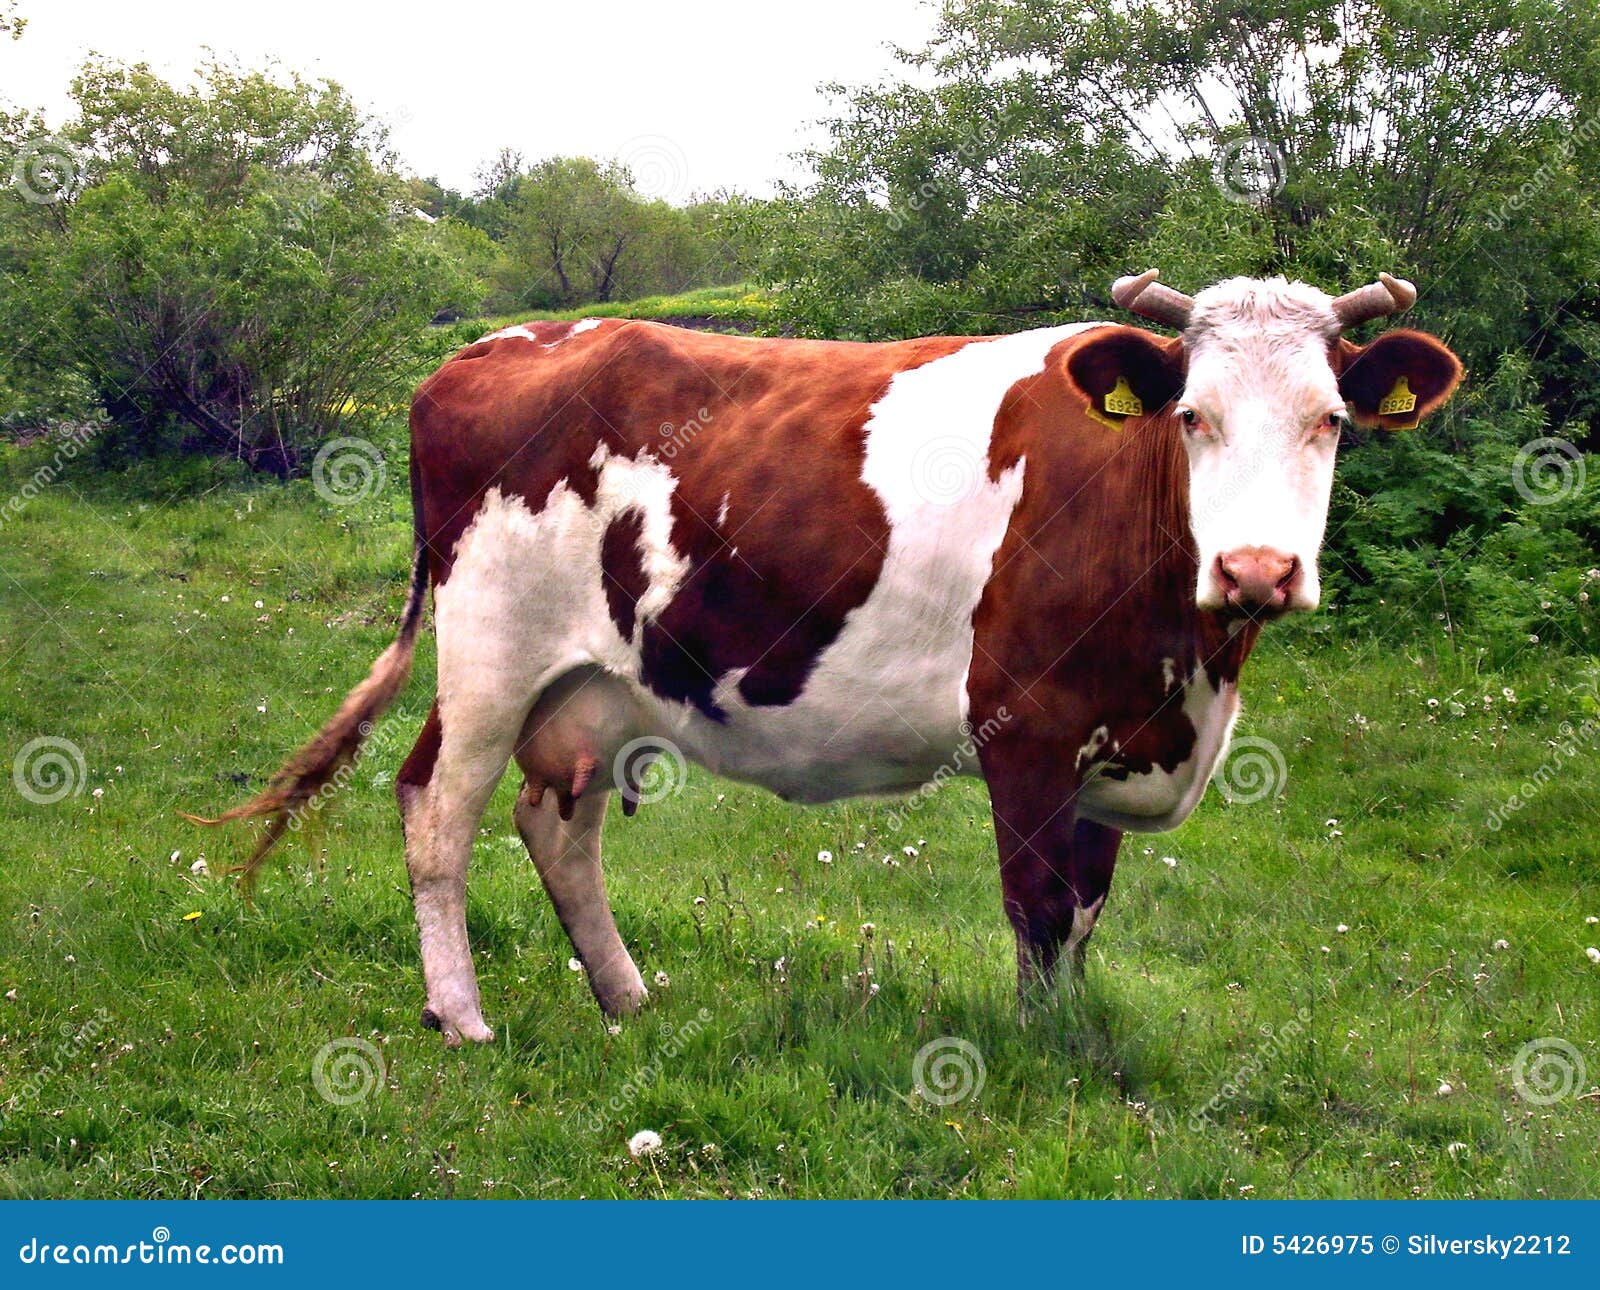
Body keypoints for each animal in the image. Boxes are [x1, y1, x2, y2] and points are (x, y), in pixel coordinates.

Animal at [198, 271, 1462, 1045]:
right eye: (1191, 415)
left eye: (1330, 420)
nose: (1257, 571)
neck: (1192, 672)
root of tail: (492, 347)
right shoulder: (1031, 730)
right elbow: (1039, 908)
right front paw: (1044, 1058)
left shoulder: (1114, 747)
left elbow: (1087, 915)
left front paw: (1067, 1037)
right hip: (490, 649)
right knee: (437, 809)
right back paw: (457, 1013)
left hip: (599, 682)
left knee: (558, 826)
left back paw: (626, 994)